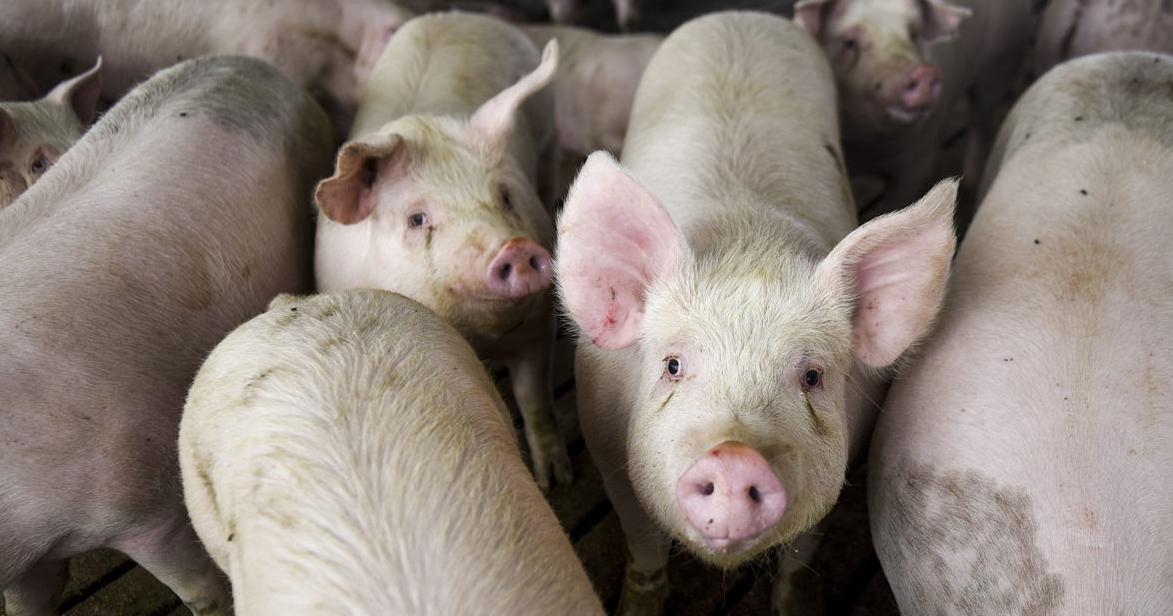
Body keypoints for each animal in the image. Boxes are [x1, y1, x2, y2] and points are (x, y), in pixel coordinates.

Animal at [313, 13, 573, 490]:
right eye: (417, 219)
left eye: (505, 196)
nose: (514, 248)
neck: (479, 334)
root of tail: (455, 15)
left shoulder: (537, 324)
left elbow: (534, 398)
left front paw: (555, 479)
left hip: (549, 135)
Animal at [555, 12, 958, 615]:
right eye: (672, 365)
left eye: (812, 376)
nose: (733, 455)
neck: (750, 239)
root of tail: (741, 15)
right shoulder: (606, 451)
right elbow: (643, 546)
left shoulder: (837, 471)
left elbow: (799, 558)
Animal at [794, 0, 1034, 218]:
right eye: (850, 42)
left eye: (914, 35)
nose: (924, 72)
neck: (868, 147)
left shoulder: (915, 164)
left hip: (999, 65)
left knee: (980, 122)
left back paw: (970, 184)